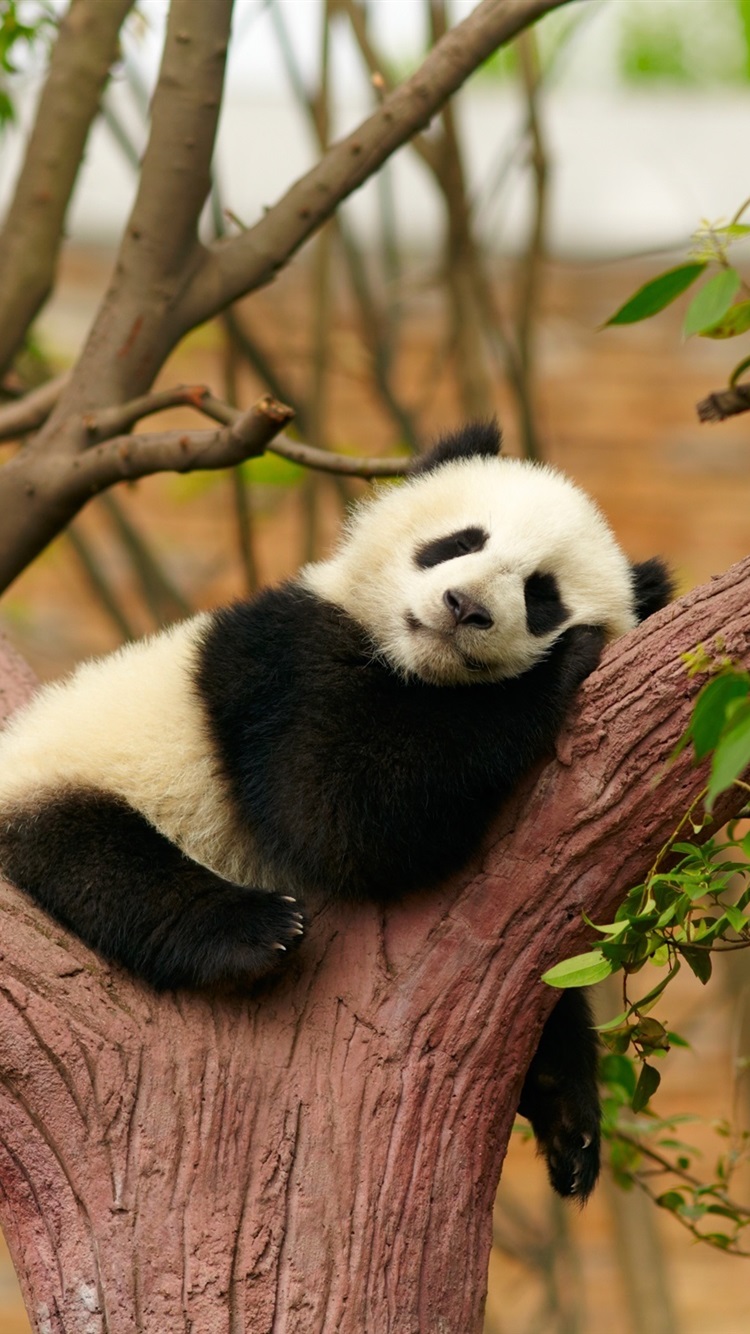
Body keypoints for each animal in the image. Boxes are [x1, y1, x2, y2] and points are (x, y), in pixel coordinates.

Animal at [0, 421, 672, 1200]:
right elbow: (338, 813)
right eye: (459, 542)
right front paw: (562, 666)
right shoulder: (286, 660)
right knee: (97, 857)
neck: (416, 668)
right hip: (60, 777)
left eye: (542, 595)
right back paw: (252, 930)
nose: (465, 606)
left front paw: (570, 1116)